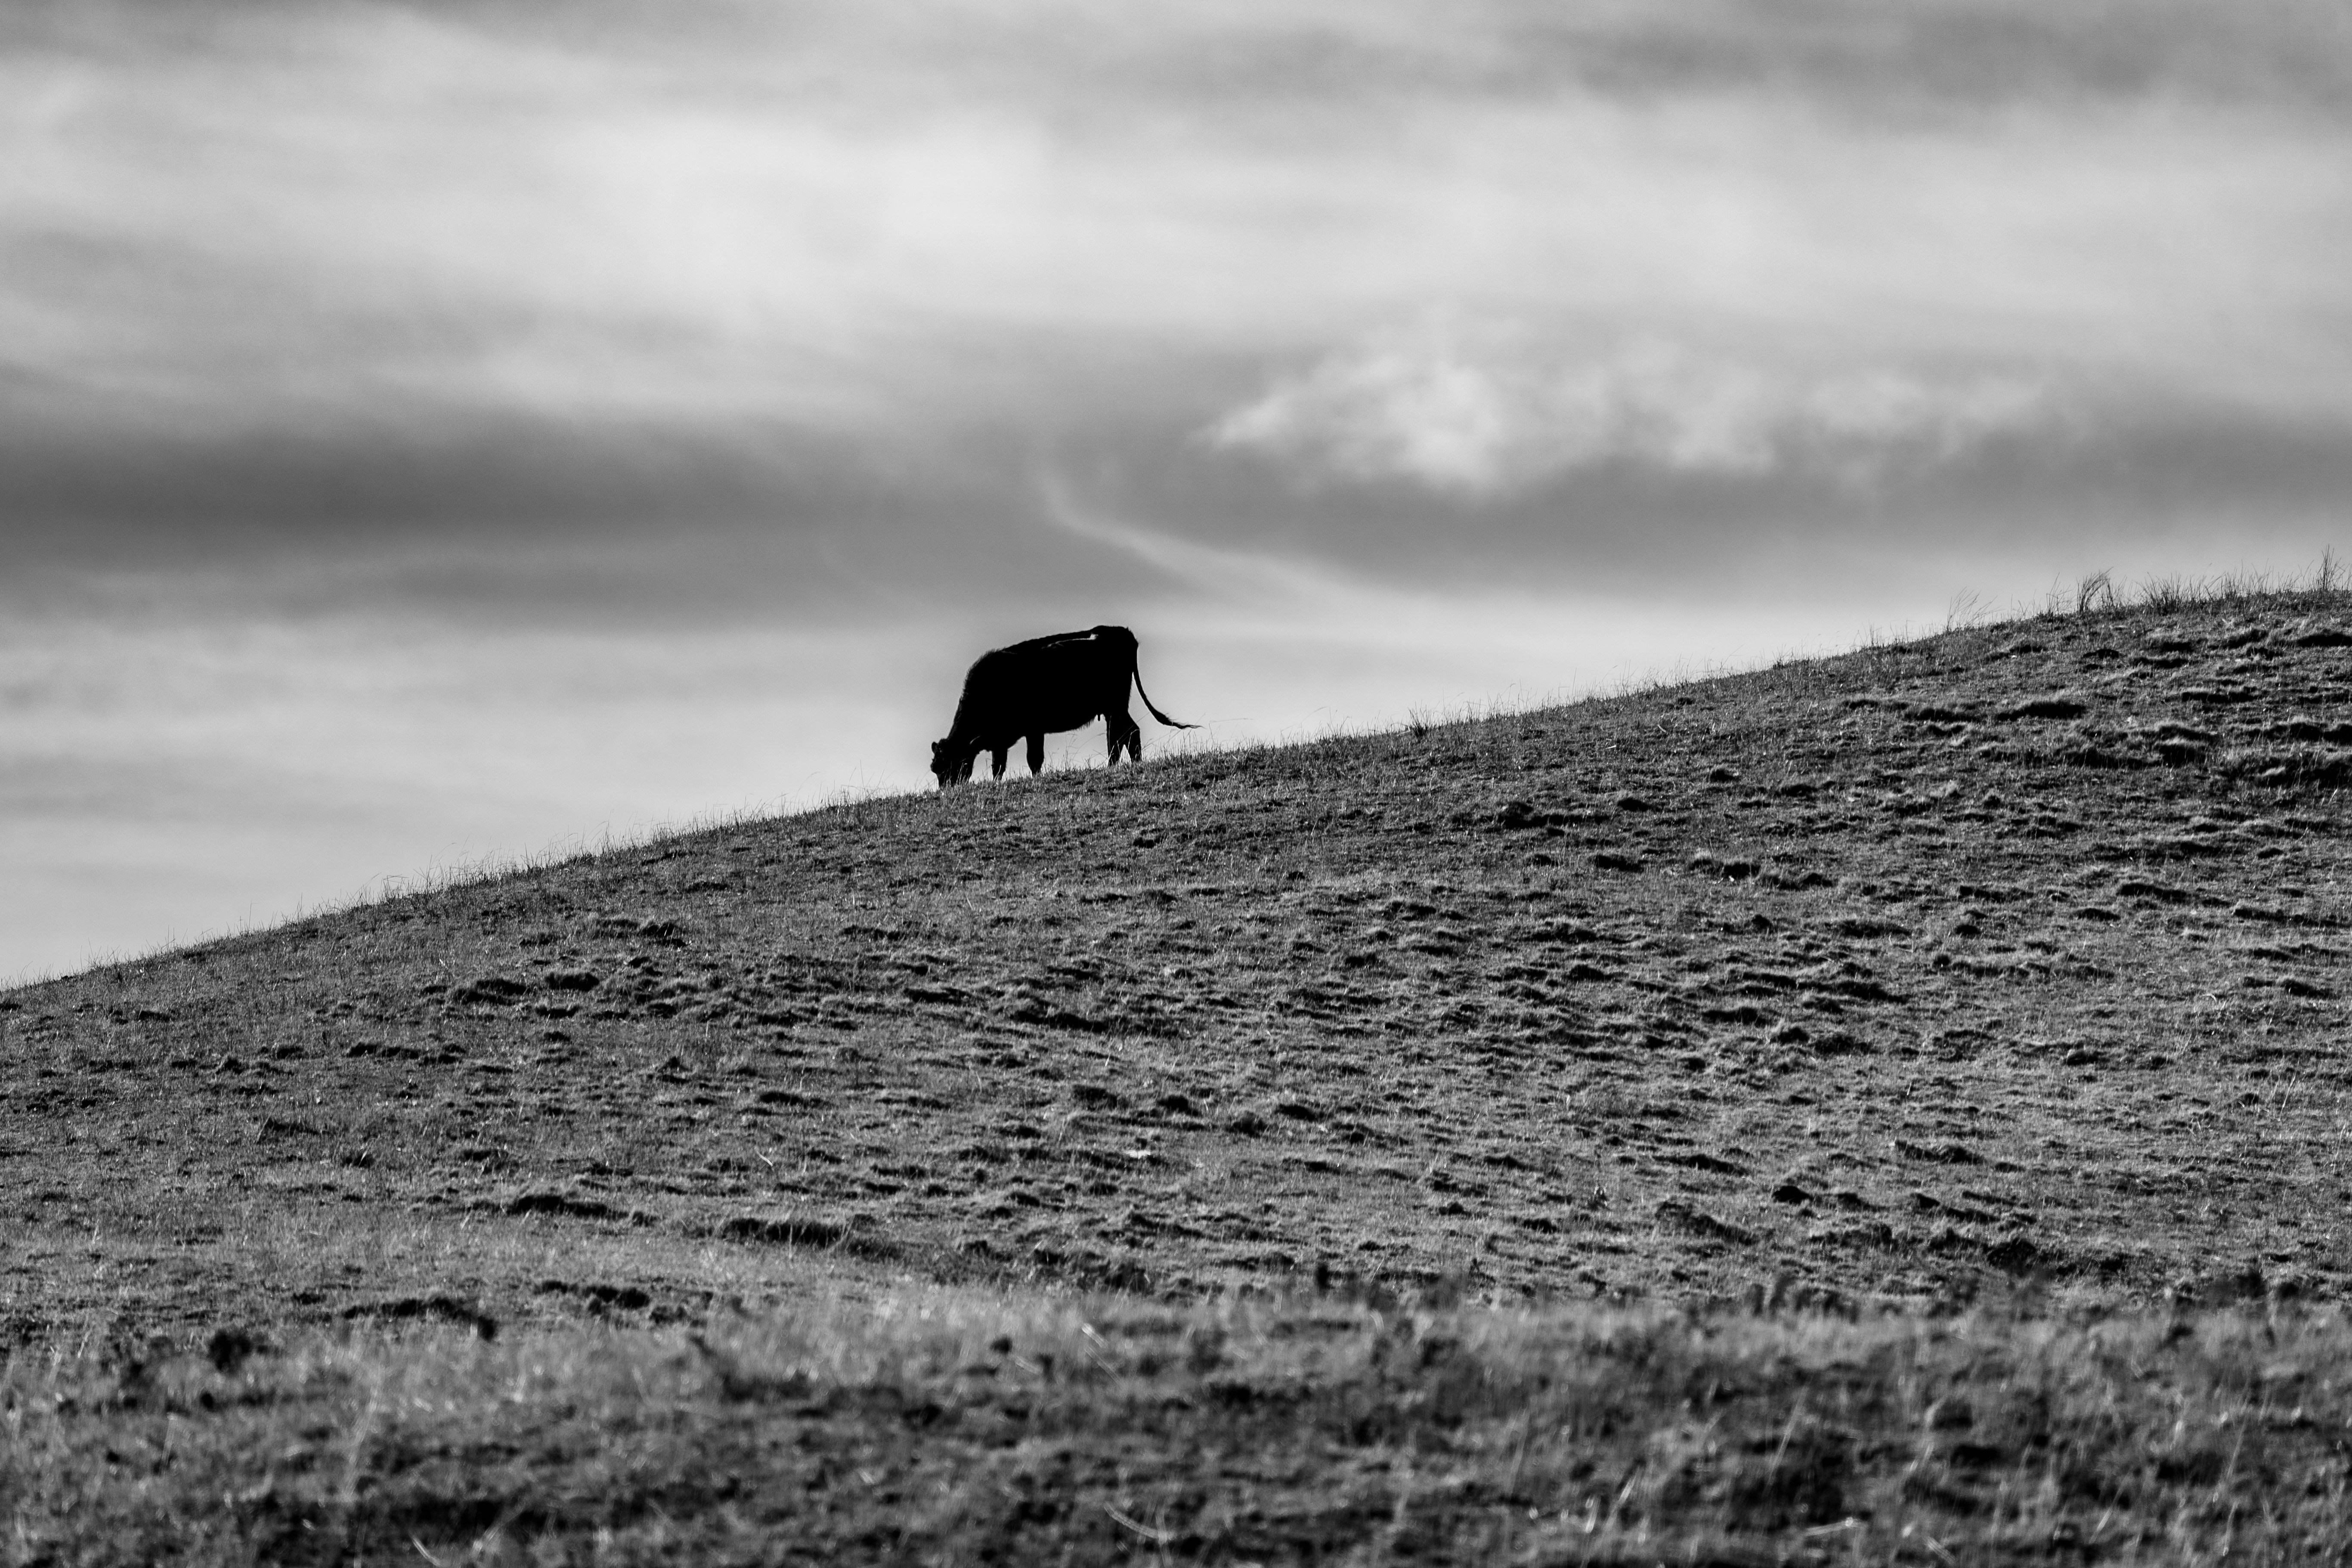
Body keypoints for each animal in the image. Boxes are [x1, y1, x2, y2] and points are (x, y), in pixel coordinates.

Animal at [930, 625, 1194, 787]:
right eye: (936, 769)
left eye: (955, 765)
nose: (948, 790)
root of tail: (1120, 632)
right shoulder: (1001, 740)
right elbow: (999, 767)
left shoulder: (1032, 730)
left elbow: (1033, 760)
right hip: (1115, 709)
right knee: (1126, 735)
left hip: (1115, 706)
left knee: (1121, 737)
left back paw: (1114, 767)